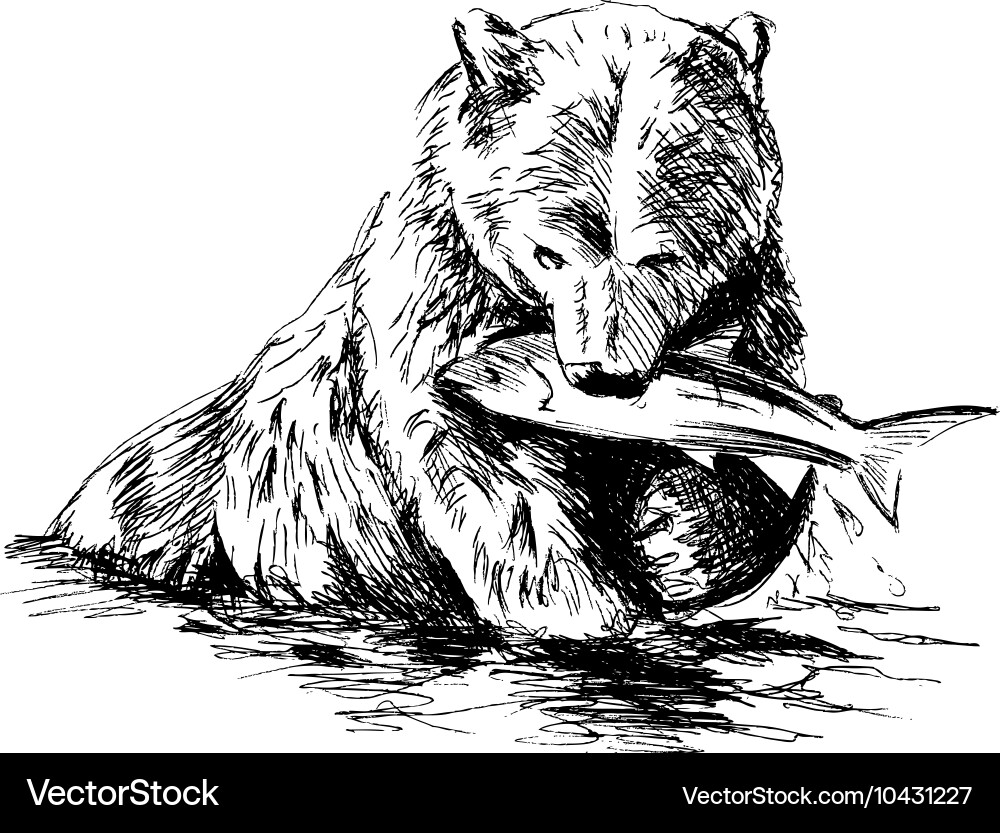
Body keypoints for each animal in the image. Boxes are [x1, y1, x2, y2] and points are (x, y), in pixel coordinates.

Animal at [38, 3, 813, 640]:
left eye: (668, 253)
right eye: (551, 250)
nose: (604, 375)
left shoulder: (745, 313)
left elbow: (750, 440)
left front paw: (675, 525)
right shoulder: (437, 305)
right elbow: (490, 479)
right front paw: (594, 617)